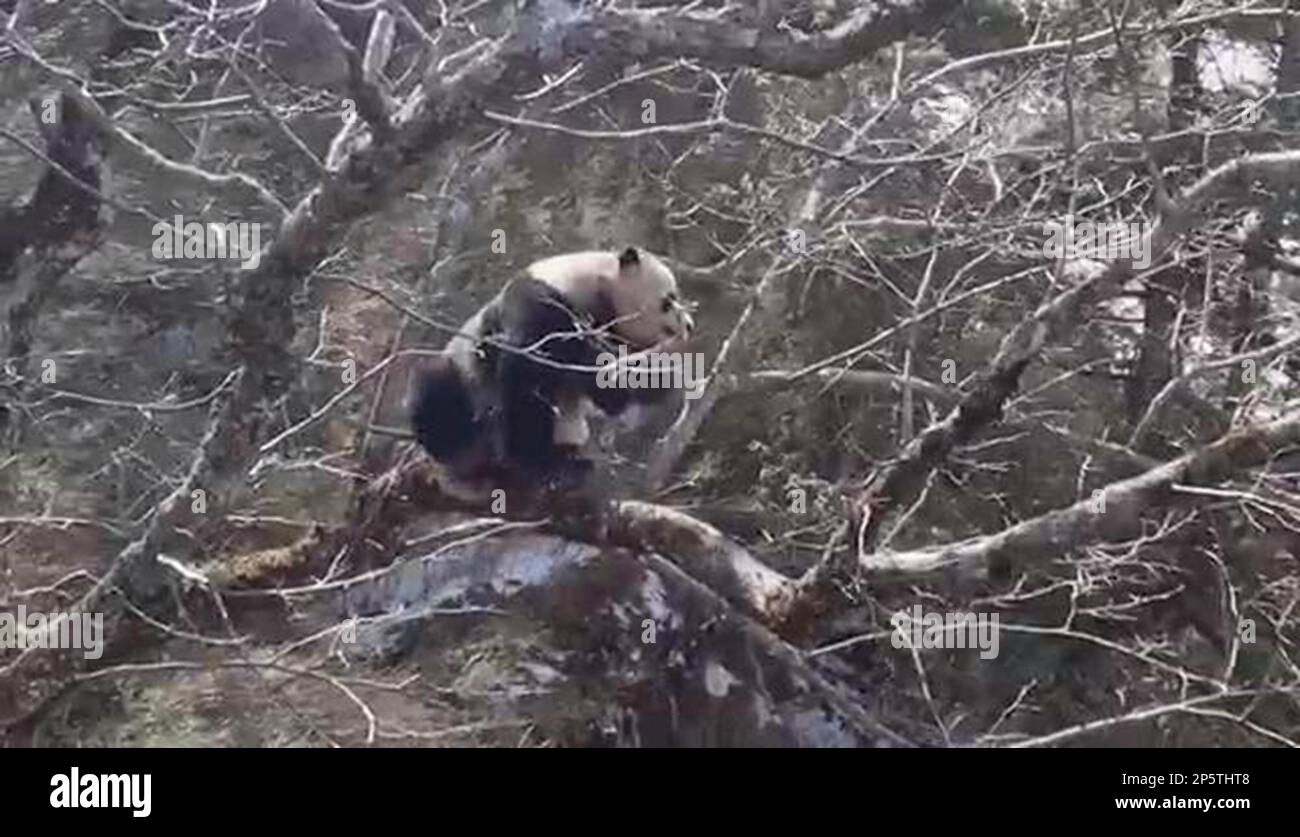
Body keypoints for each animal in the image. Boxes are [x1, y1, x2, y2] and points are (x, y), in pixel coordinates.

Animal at [409, 246, 694, 495]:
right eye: (669, 300)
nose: (689, 325)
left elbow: (608, 390)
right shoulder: (540, 301)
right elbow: (525, 374)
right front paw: (537, 464)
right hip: (463, 377)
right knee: (435, 391)